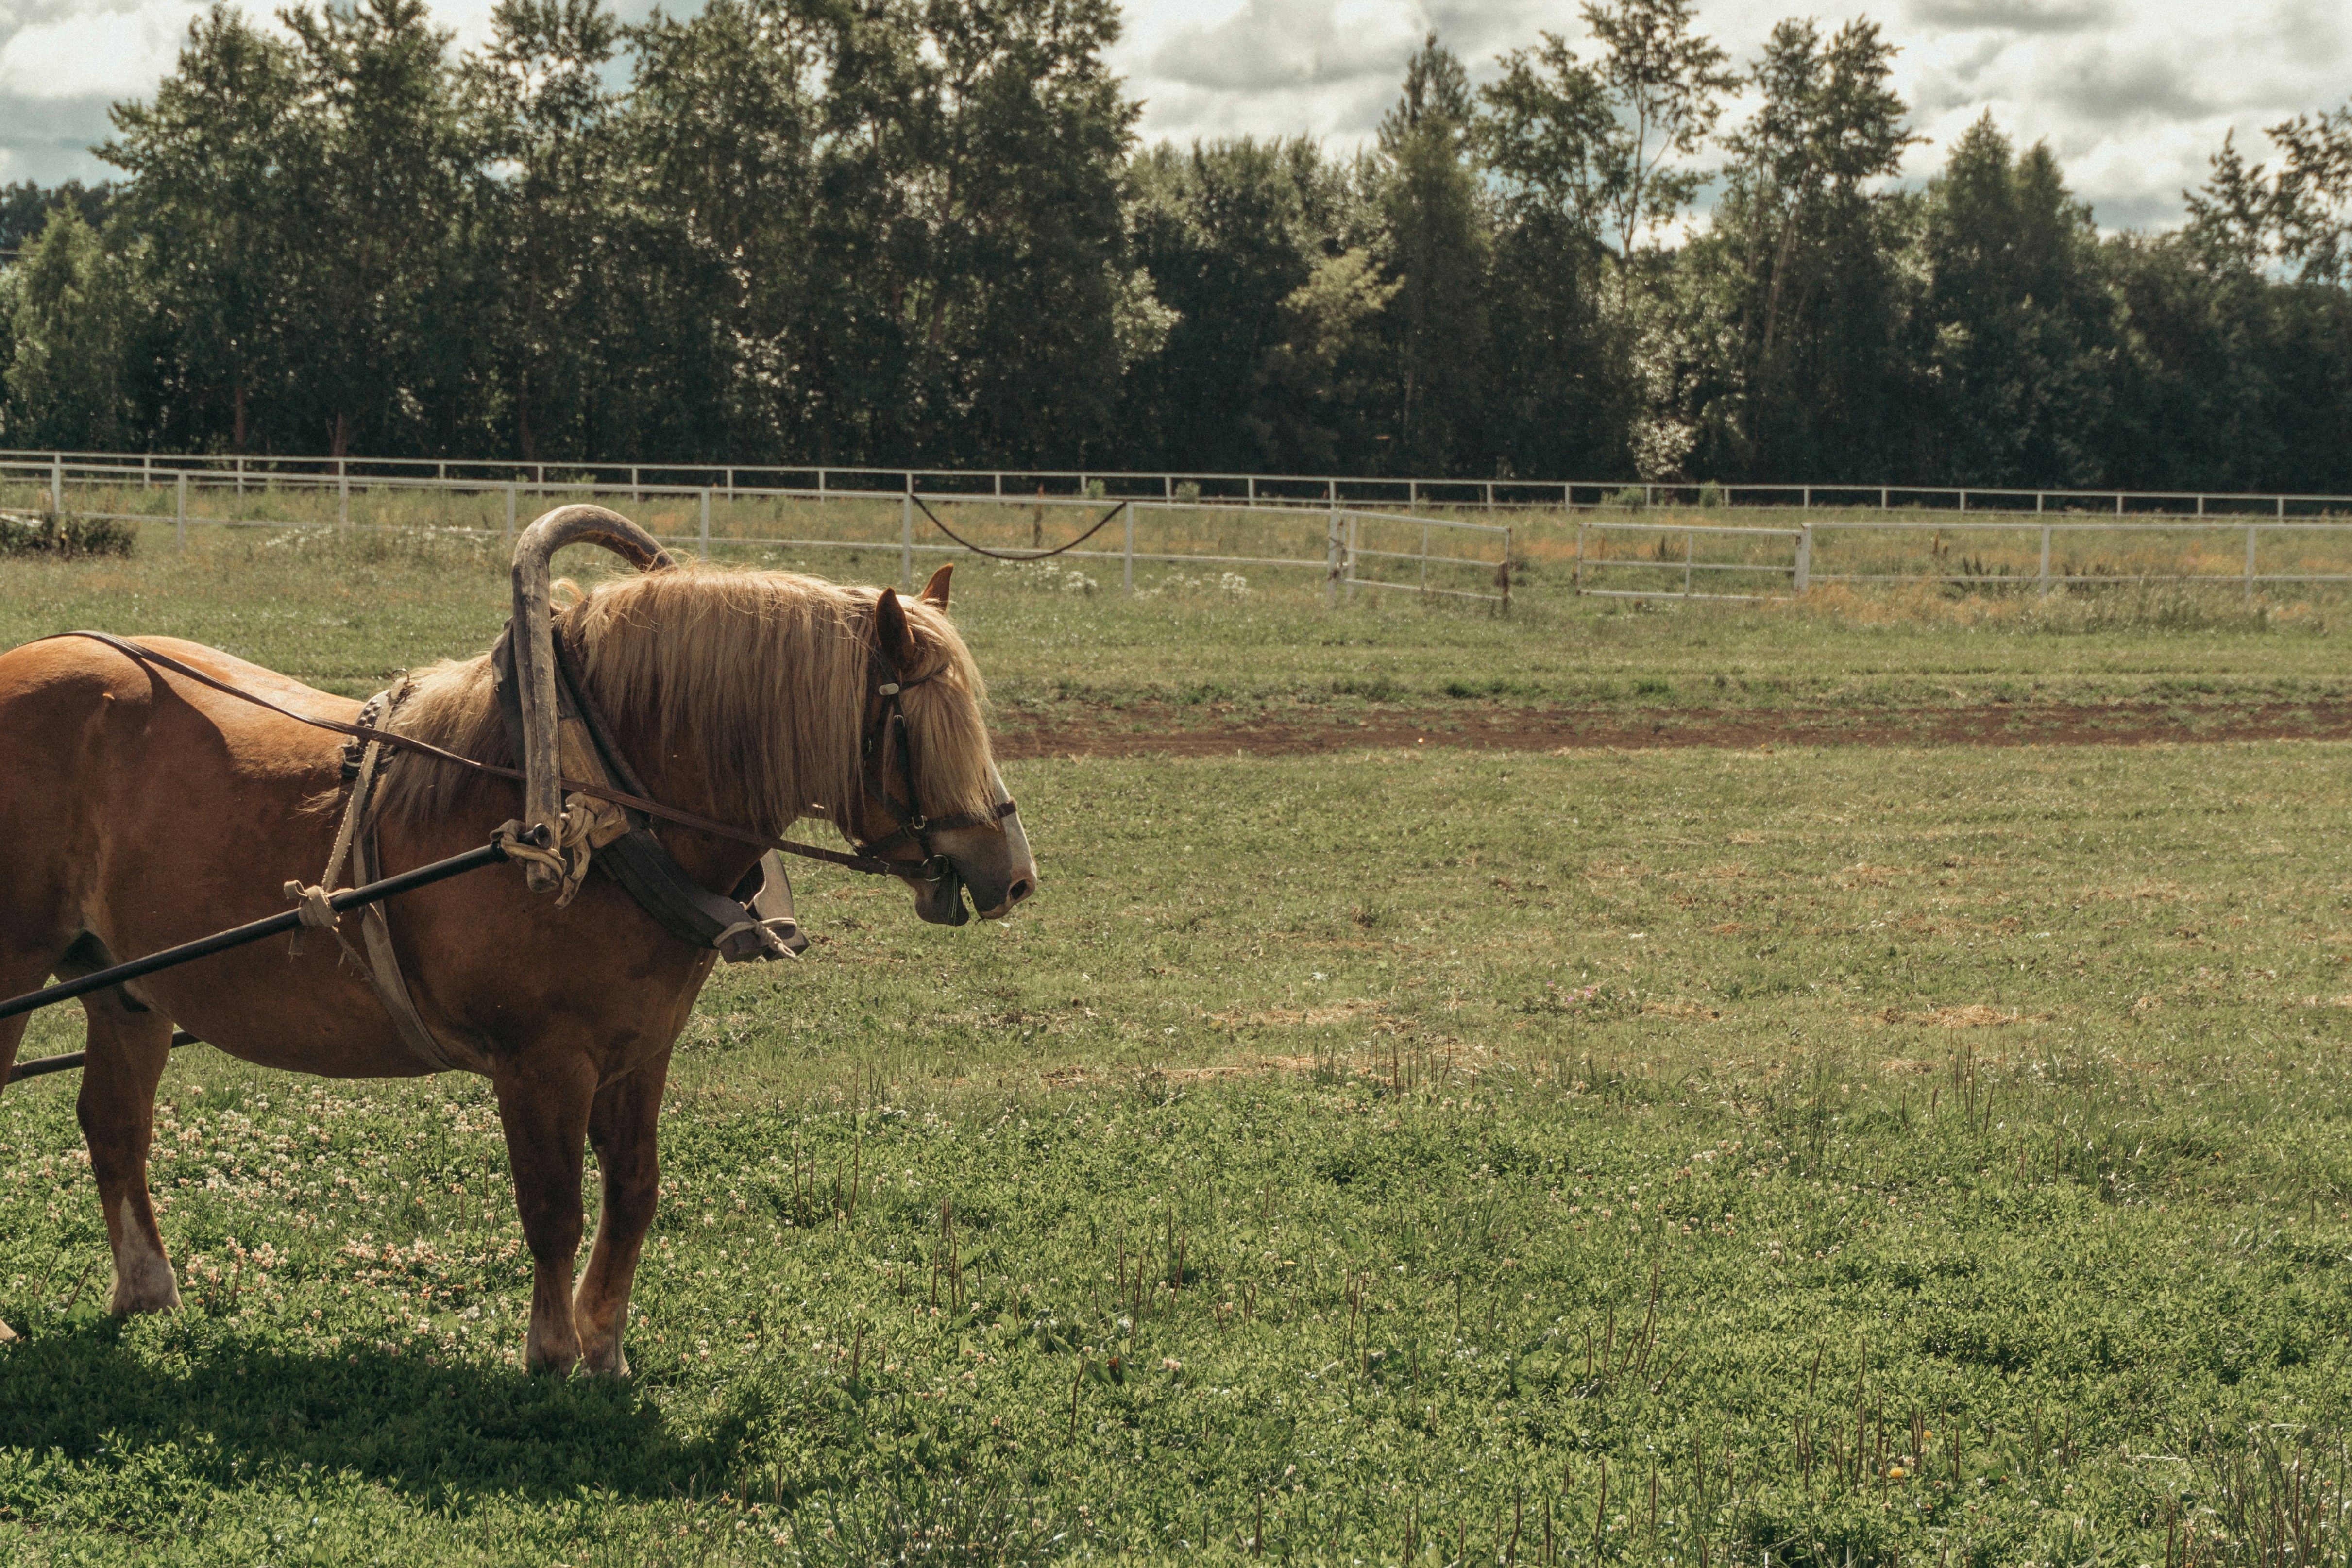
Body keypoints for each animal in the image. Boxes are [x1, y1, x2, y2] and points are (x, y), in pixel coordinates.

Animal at [0, 513, 1035, 1371]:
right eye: (916, 723)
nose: (1012, 872)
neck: (594, 806)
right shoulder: (542, 1060)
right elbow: (553, 1206)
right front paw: (552, 1349)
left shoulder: (639, 1051)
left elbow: (634, 1192)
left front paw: (606, 1342)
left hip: (125, 983)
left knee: (115, 1124)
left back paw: (146, 1288)